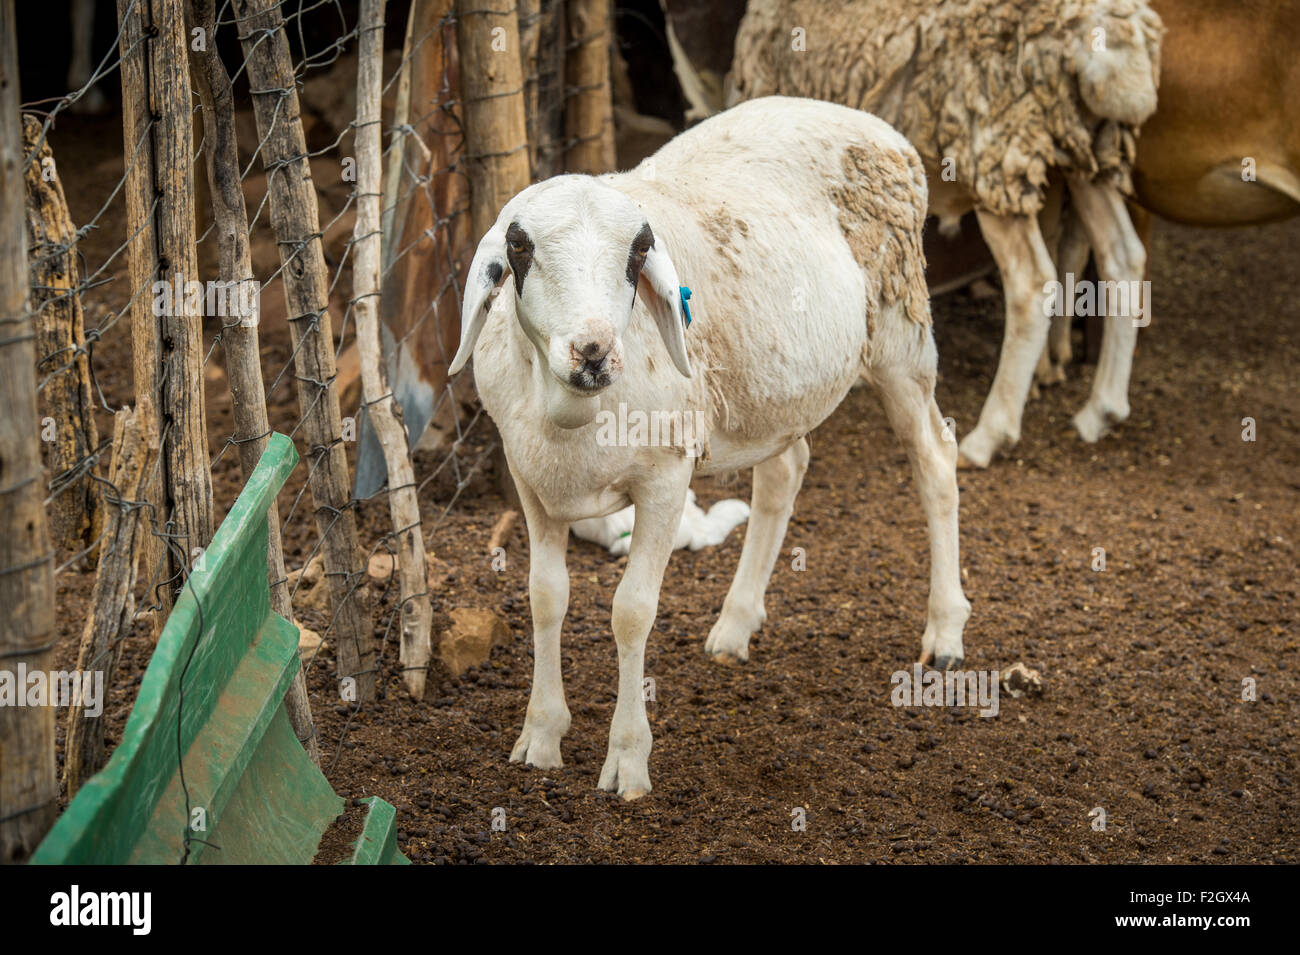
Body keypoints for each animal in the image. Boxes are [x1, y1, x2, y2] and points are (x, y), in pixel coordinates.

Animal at [449, 96, 971, 799]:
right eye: (520, 246)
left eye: (638, 252)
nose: (593, 351)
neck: (574, 414)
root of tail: (862, 119)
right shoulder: (530, 479)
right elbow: (545, 596)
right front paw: (540, 735)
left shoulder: (666, 478)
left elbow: (631, 612)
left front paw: (628, 760)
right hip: (769, 387)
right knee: (785, 472)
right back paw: (736, 623)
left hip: (899, 331)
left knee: (935, 462)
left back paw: (944, 630)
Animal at [731, 0, 1163, 467]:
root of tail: (1113, 34)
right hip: (1089, 152)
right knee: (1123, 255)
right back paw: (1102, 409)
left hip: (996, 152)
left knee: (1033, 282)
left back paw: (989, 435)